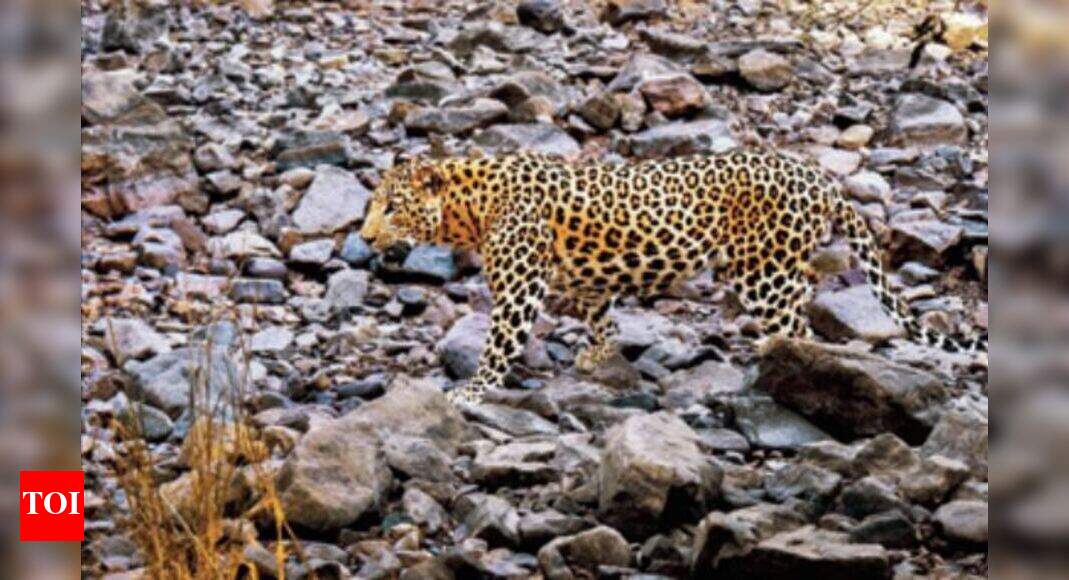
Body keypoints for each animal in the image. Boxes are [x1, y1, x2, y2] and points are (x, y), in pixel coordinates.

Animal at [360, 149, 987, 405]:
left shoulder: (518, 287)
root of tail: (823, 178)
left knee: (797, 324)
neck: (469, 208)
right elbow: (600, 314)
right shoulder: (589, 282)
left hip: (761, 272)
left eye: (391, 207)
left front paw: (471, 391)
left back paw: (781, 372)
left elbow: (498, 343)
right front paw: (600, 357)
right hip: (772, 268)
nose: (364, 238)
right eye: (373, 206)